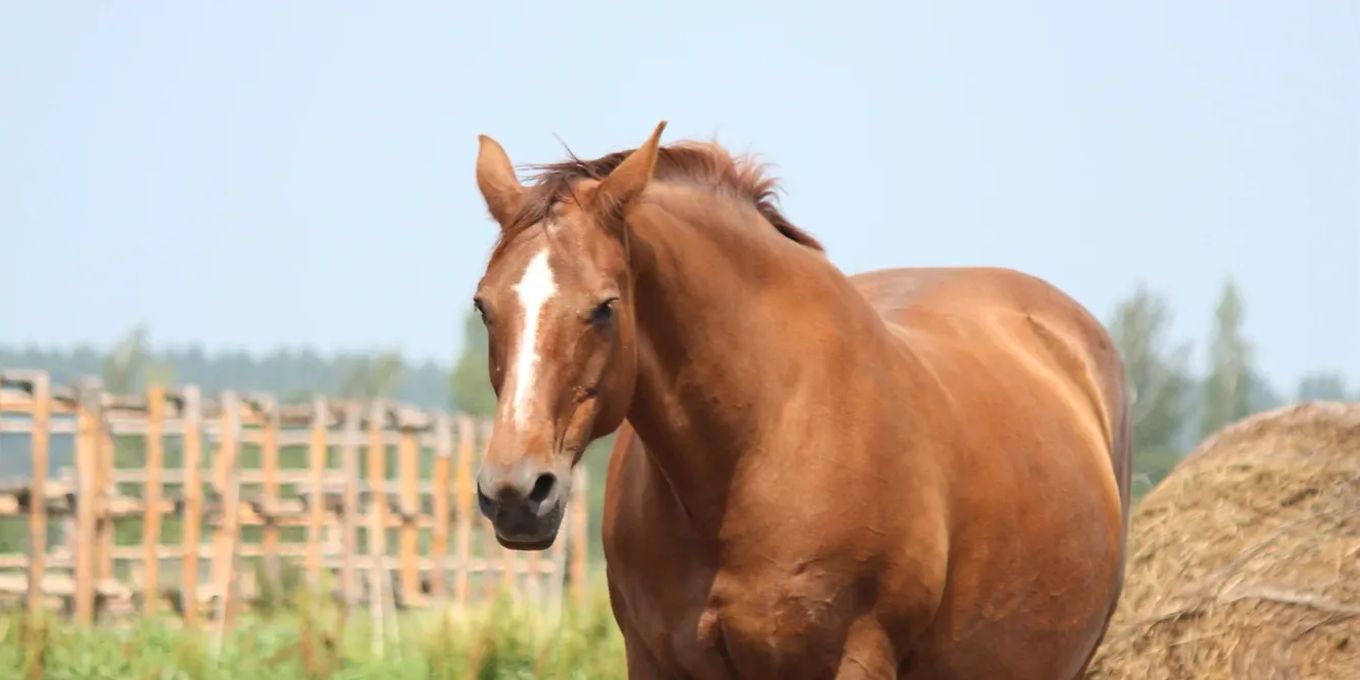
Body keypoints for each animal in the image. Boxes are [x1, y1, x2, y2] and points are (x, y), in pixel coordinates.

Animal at [469, 121, 1132, 679]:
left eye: (605, 307)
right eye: (483, 306)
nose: (516, 493)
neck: (755, 448)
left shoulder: (854, 659)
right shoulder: (655, 660)